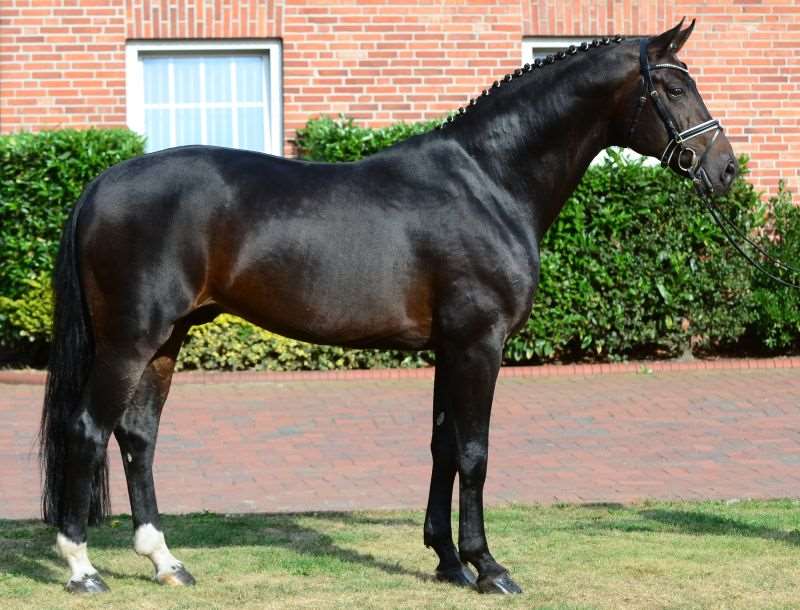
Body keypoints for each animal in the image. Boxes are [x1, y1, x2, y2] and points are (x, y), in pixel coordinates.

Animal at [40, 19, 737, 595]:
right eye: (674, 86)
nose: (726, 169)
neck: (491, 181)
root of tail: (101, 183)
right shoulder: (480, 344)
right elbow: (475, 452)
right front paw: (489, 568)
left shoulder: (450, 348)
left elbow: (443, 446)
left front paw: (448, 561)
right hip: (129, 340)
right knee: (88, 429)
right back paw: (82, 568)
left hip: (167, 339)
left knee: (138, 435)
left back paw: (166, 562)